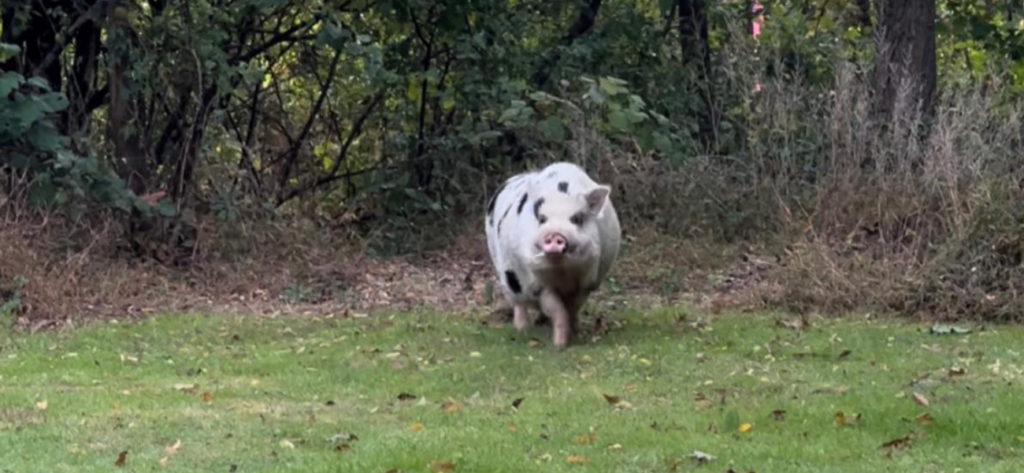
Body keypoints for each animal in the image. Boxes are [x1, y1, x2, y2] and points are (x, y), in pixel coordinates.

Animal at [484, 162, 621, 349]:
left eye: (577, 219)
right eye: (542, 219)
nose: (555, 234)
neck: (562, 272)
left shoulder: (587, 282)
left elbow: (572, 308)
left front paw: (577, 336)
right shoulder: (539, 284)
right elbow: (557, 309)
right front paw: (559, 345)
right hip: (503, 270)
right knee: (518, 302)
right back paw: (523, 330)